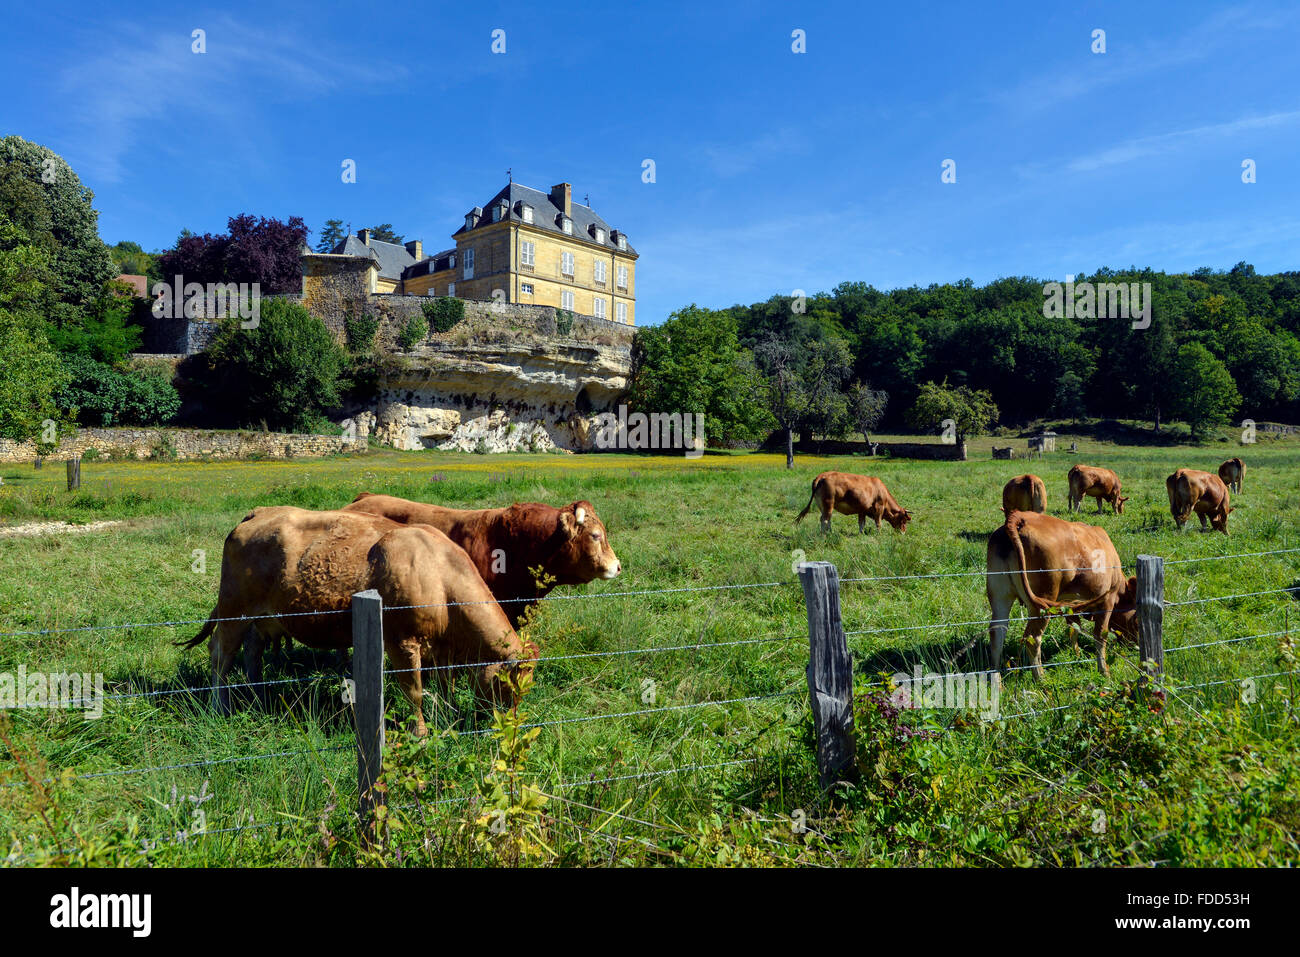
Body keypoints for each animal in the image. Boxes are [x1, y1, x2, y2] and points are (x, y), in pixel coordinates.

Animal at [180, 506, 536, 735]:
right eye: (508, 686)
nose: (511, 727)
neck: (438, 575)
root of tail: (257, 514)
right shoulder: (401, 643)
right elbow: (415, 691)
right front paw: (421, 732)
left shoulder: (441, 649)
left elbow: (445, 687)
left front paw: (449, 718)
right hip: (234, 609)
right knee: (221, 655)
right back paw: (219, 707)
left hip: (263, 616)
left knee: (252, 650)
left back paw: (259, 694)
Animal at [986, 511, 1138, 678]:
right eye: (1136, 621)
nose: (1134, 645)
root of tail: (1020, 517)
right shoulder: (1107, 601)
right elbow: (1100, 635)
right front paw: (1104, 672)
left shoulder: (1069, 603)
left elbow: (1074, 628)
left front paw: (1076, 655)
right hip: (1043, 601)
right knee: (1033, 638)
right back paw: (1041, 678)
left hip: (1000, 595)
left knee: (997, 633)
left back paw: (996, 679)